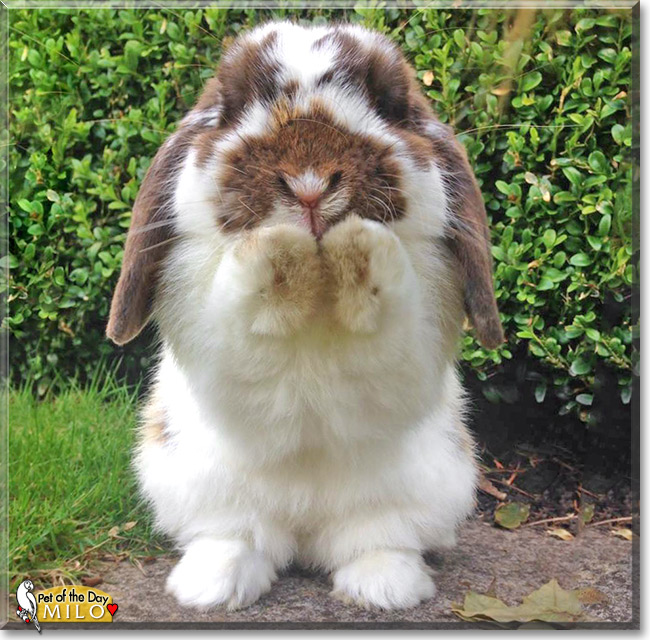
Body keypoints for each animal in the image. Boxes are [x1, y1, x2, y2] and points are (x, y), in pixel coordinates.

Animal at [107, 21, 503, 612]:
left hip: (419, 488)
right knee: (236, 536)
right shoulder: (218, 345)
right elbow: (243, 313)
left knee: (375, 539)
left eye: (389, 104)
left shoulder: (411, 347)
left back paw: (383, 586)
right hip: (201, 484)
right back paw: (213, 586)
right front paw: (278, 247)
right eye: (231, 106)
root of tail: (304, 535)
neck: (319, 295)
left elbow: (386, 321)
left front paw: (359, 244)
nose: (310, 183)